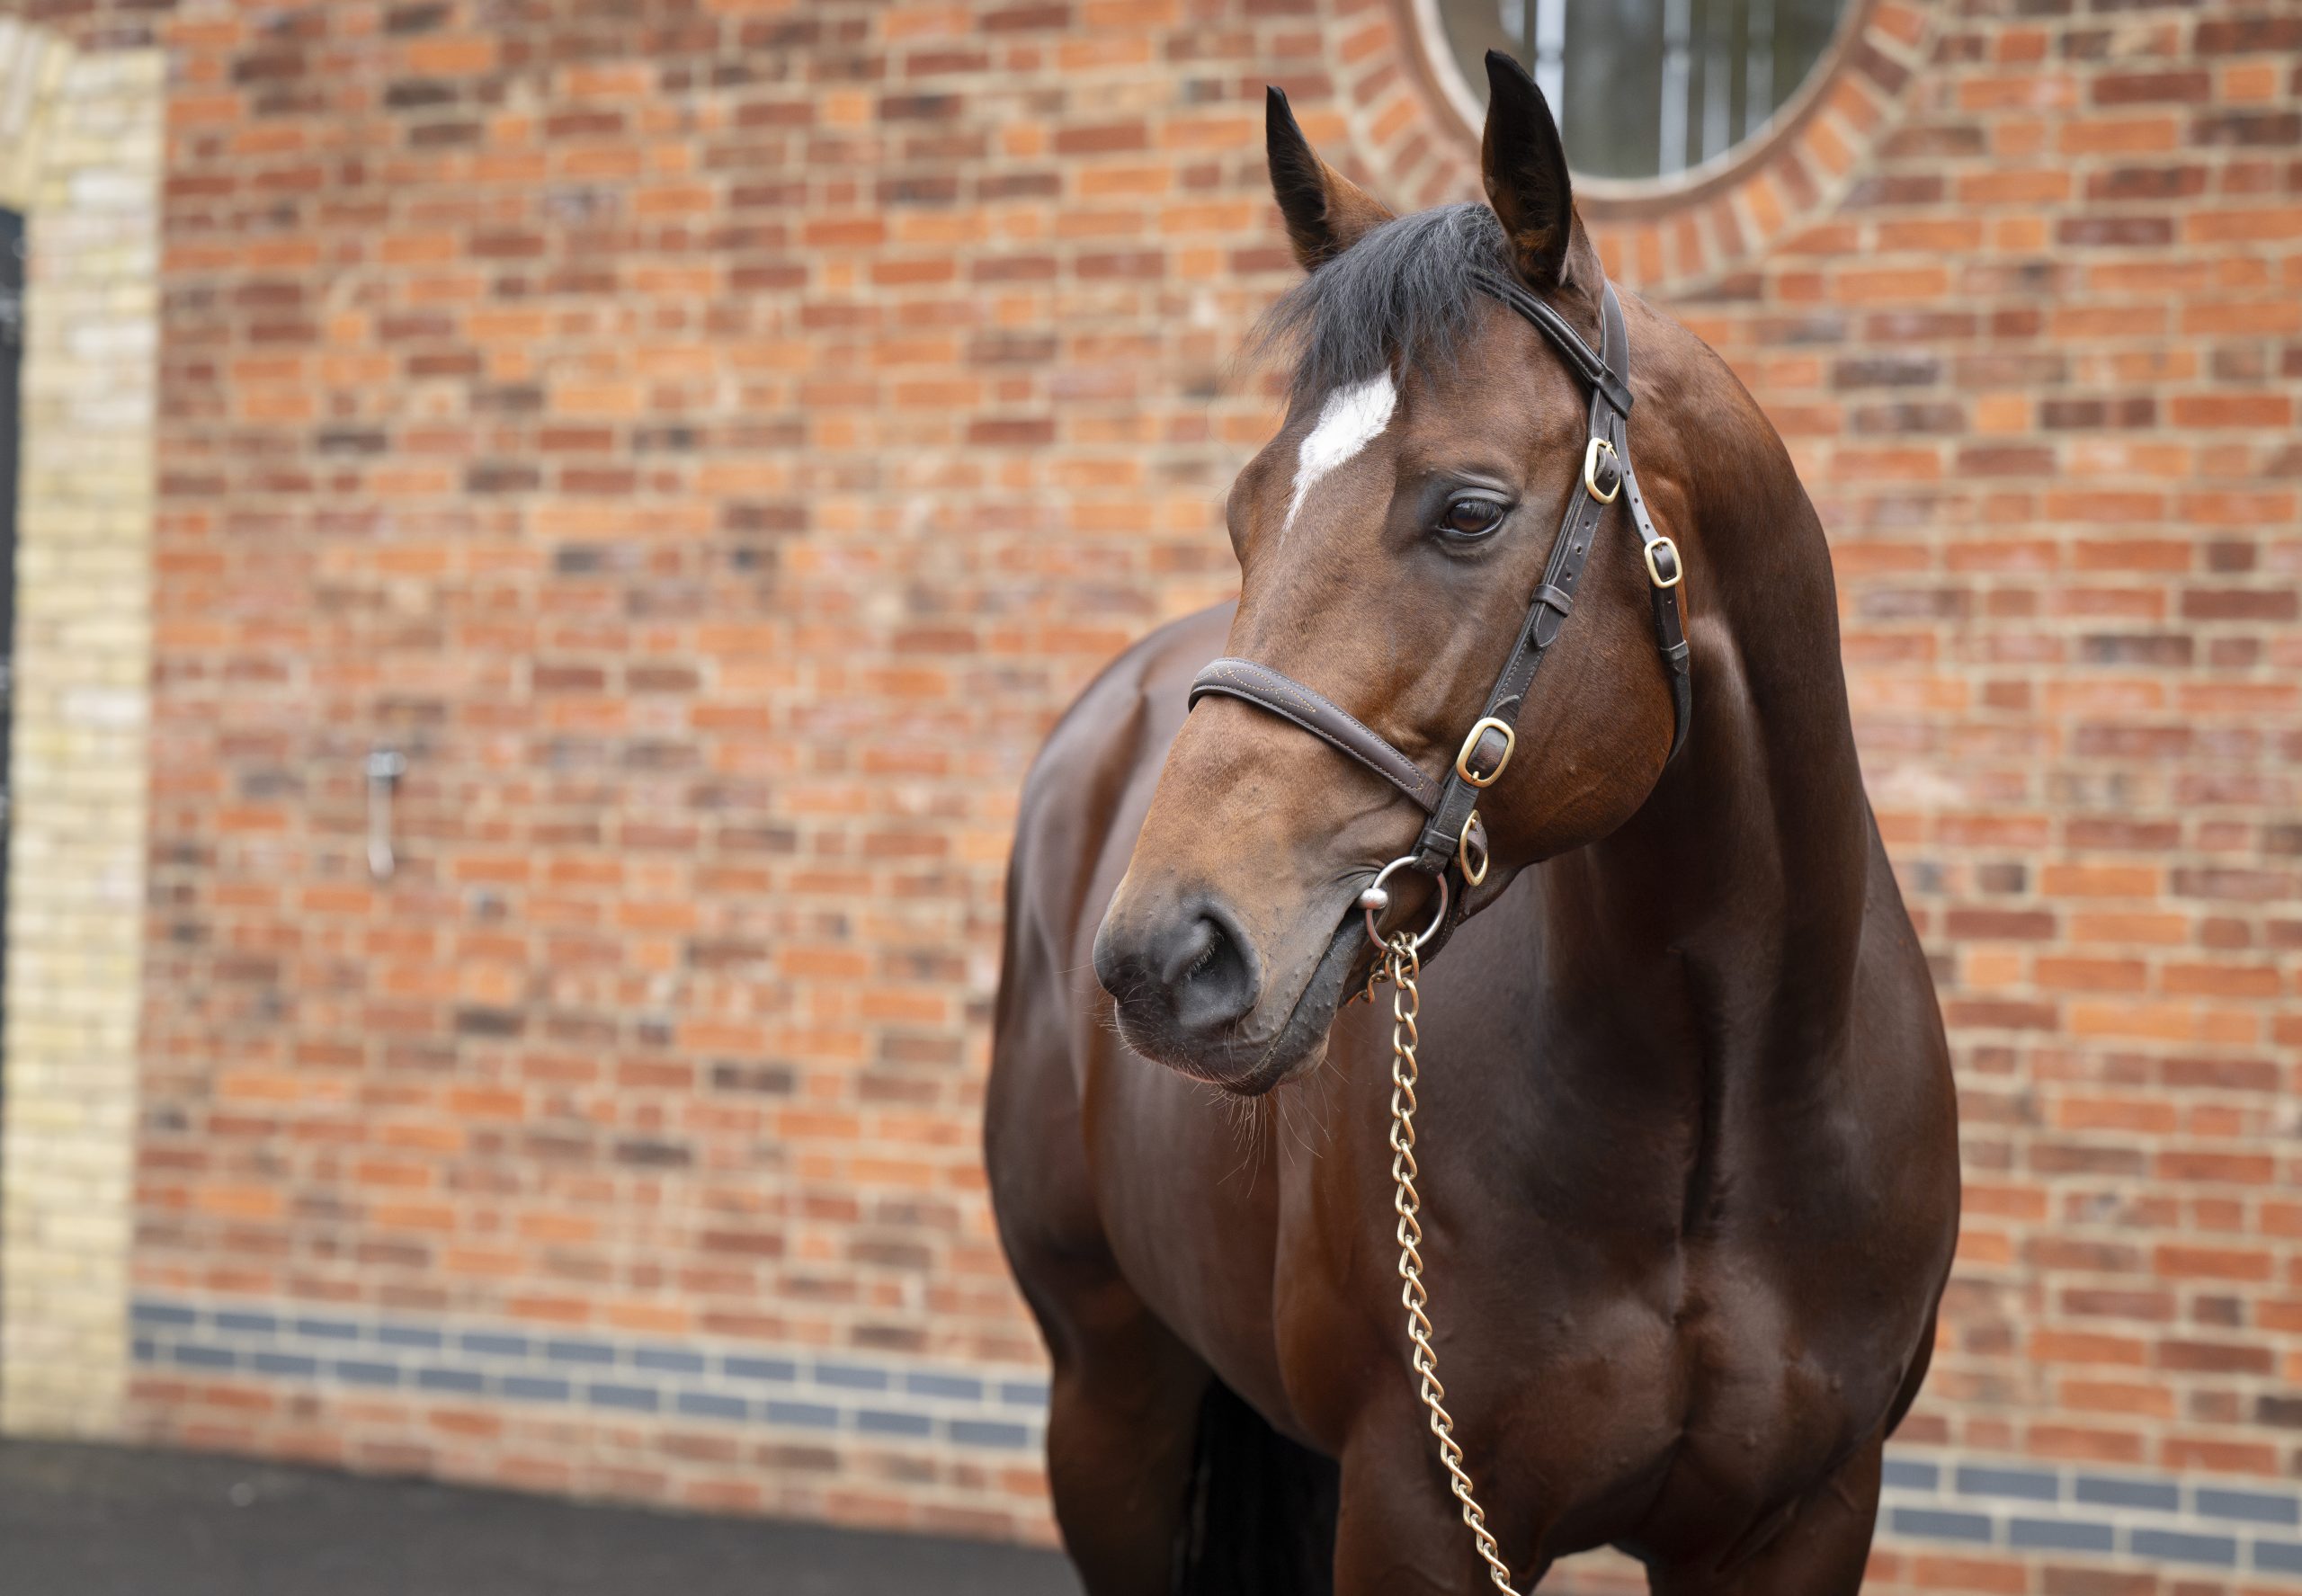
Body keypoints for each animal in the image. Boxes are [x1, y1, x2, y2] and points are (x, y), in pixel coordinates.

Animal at [985, 52, 1959, 1596]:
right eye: (1246, 511)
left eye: (1469, 510)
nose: (1162, 958)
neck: (1720, 1101)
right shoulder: (1417, 1505)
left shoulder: (1807, 1515)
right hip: (1108, 1394)